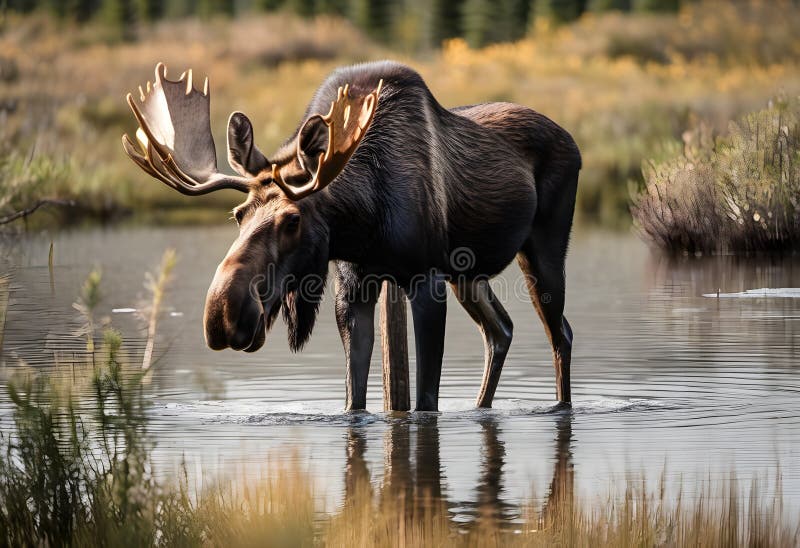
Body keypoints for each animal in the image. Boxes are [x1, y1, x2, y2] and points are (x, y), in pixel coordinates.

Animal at [122, 61, 580, 412]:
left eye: (293, 220)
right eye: (238, 215)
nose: (223, 314)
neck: (363, 221)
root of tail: (573, 141)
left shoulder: (426, 280)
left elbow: (425, 402)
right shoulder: (353, 289)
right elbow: (353, 401)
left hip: (543, 251)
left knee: (561, 333)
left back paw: (560, 406)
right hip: (468, 274)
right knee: (500, 330)